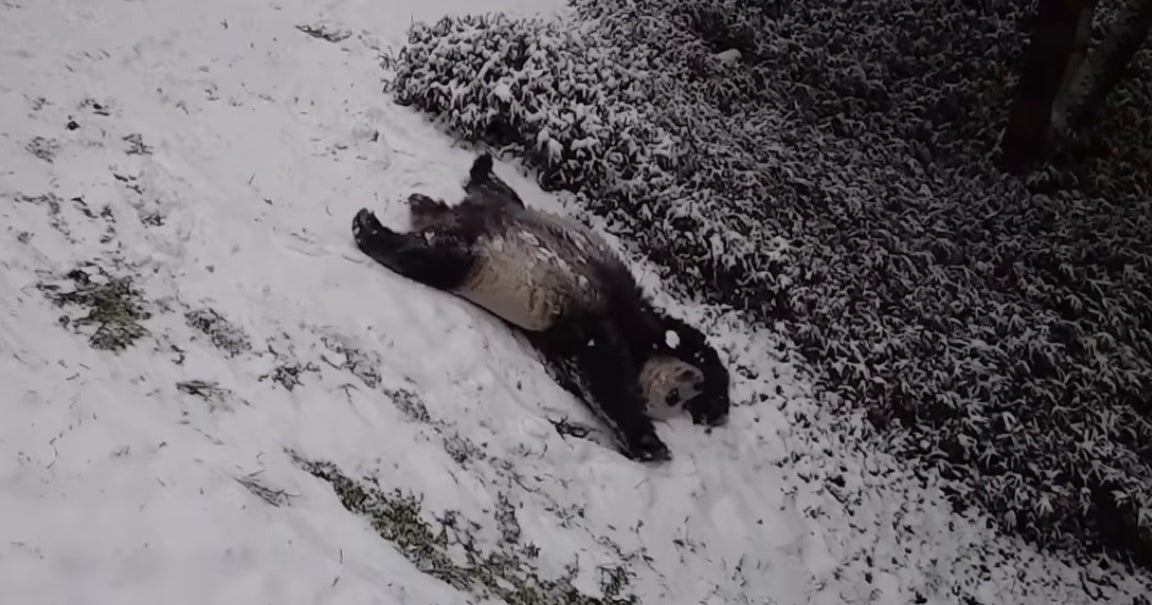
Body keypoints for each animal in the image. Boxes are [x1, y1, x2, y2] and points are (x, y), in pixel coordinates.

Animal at [351, 152, 730, 462]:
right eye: (674, 398)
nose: (693, 387)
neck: (642, 360)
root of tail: (446, 214)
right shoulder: (607, 320)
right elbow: (612, 370)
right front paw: (650, 442)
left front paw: (707, 405)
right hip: (481, 259)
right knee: (435, 255)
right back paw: (370, 226)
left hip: (489, 232)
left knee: (478, 209)